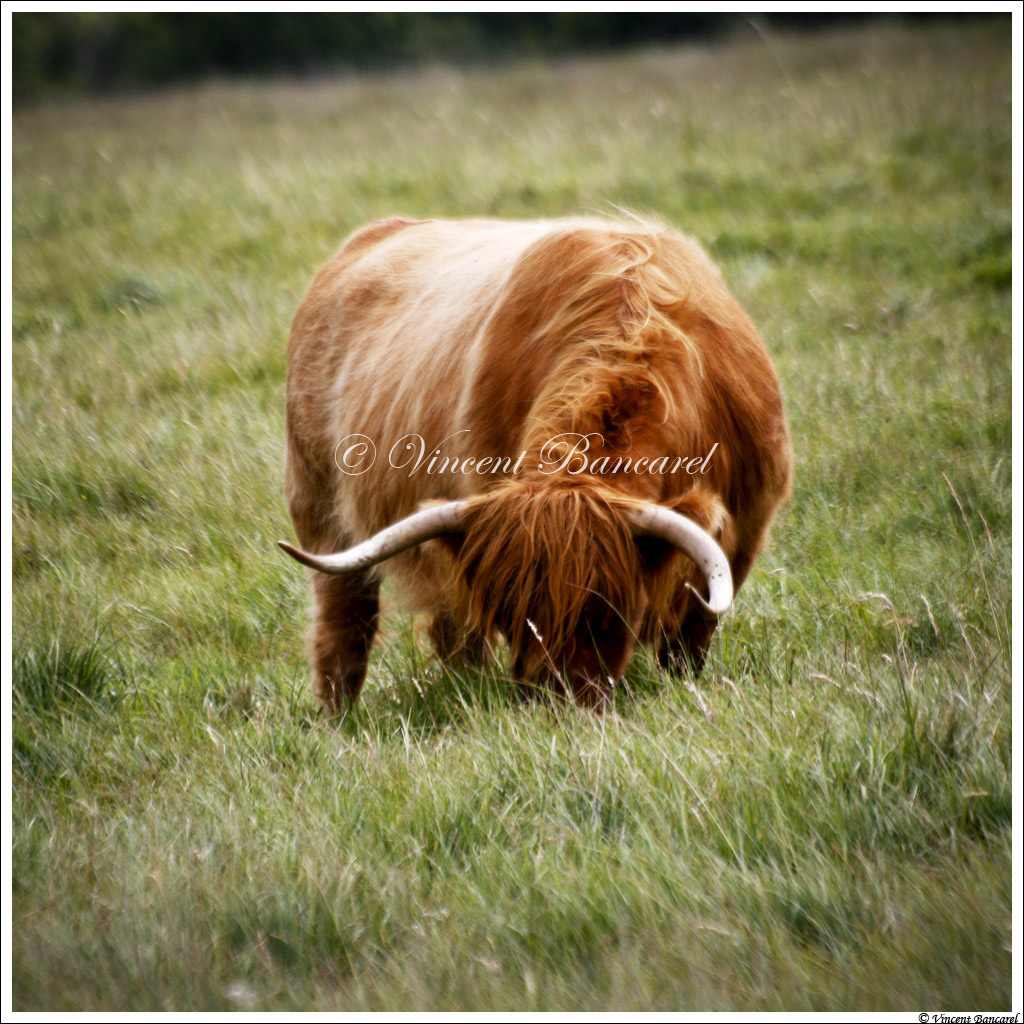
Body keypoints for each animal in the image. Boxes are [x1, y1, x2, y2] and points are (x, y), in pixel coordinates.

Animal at [280, 215, 792, 712]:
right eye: (510, 617)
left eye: (607, 614)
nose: (554, 701)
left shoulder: (741, 534)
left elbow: (689, 642)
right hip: (319, 507)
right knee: (348, 622)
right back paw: (341, 718)